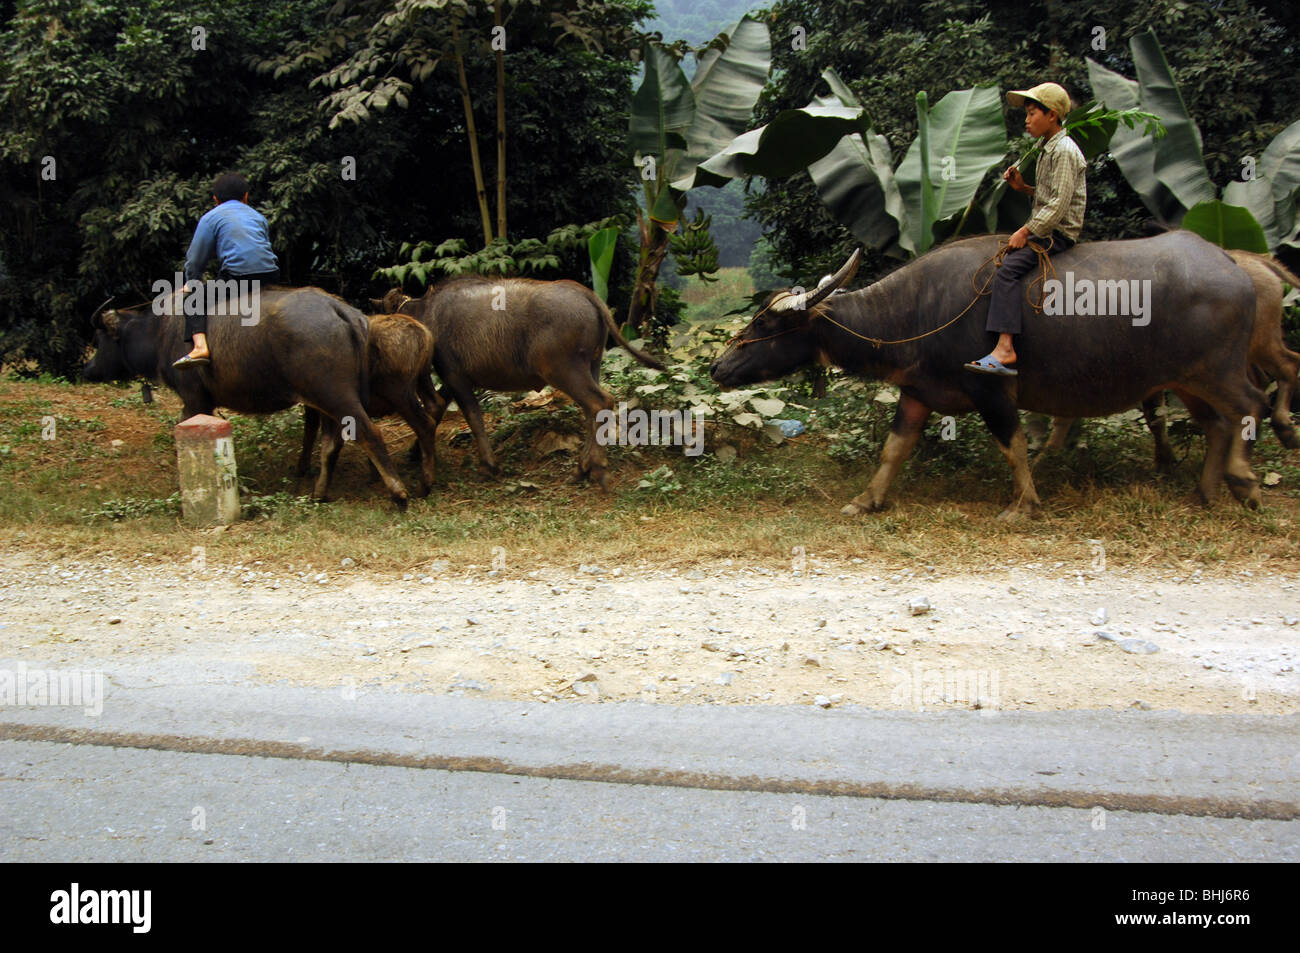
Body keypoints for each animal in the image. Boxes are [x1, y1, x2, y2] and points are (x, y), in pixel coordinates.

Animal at [710, 233, 1265, 518]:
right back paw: (1208, 491)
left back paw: (1244, 482)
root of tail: (1234, 264)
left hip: (1219, 370)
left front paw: (1025, 504)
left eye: (765, 324)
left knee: (1250, 407)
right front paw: (867, 499)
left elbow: (1014, 444)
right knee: (1218, 424)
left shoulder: (991, 389)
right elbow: (893, 449)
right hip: (1187, 381)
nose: (718, 366)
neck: (915, 311)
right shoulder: (917, 393)